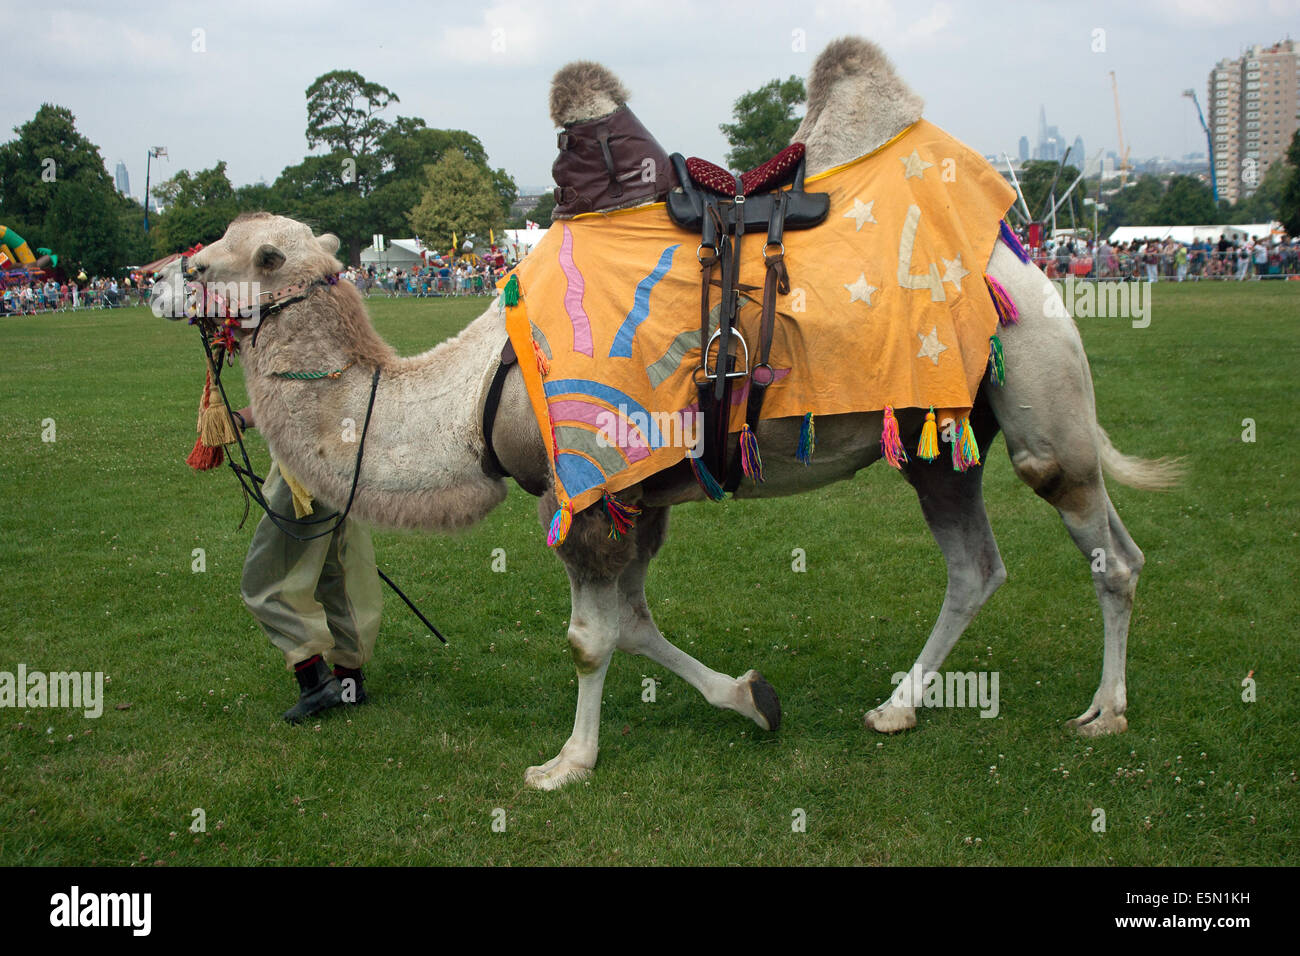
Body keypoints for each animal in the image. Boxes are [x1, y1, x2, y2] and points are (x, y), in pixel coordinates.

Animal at [160, 37, 1179, 790]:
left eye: (224, 259)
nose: (158, 279)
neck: (468, 390)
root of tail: (1027, 259)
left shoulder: (578, 487)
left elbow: (588, 638)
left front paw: (566, 764)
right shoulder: (633, 496)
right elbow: (637, 623)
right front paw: (751, 699)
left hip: (1038, 400)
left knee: (1111, 553)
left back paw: (1106, 713)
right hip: (938, 438)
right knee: (975, 567)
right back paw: (897, 708)